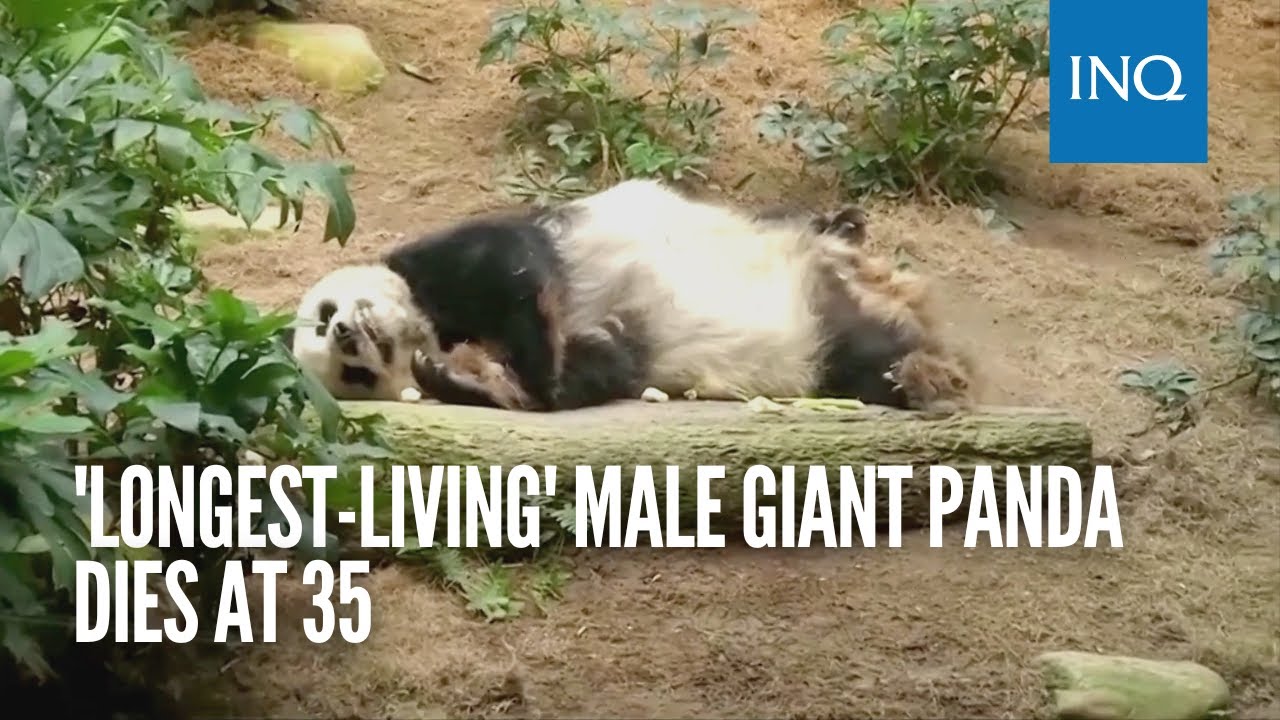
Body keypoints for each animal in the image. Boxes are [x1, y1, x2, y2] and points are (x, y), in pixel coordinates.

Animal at [286, 179, 975, 413]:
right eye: (351, 372)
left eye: (325, 316)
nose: (347, 333)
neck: (436, 326)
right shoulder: (618, 350)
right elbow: (592, 369)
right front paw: (467, 378)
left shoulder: (433, 263)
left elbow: (507, 259)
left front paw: (531, 353)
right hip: (828, 345)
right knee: (862, 358)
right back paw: (915, 370)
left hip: (780, 240)